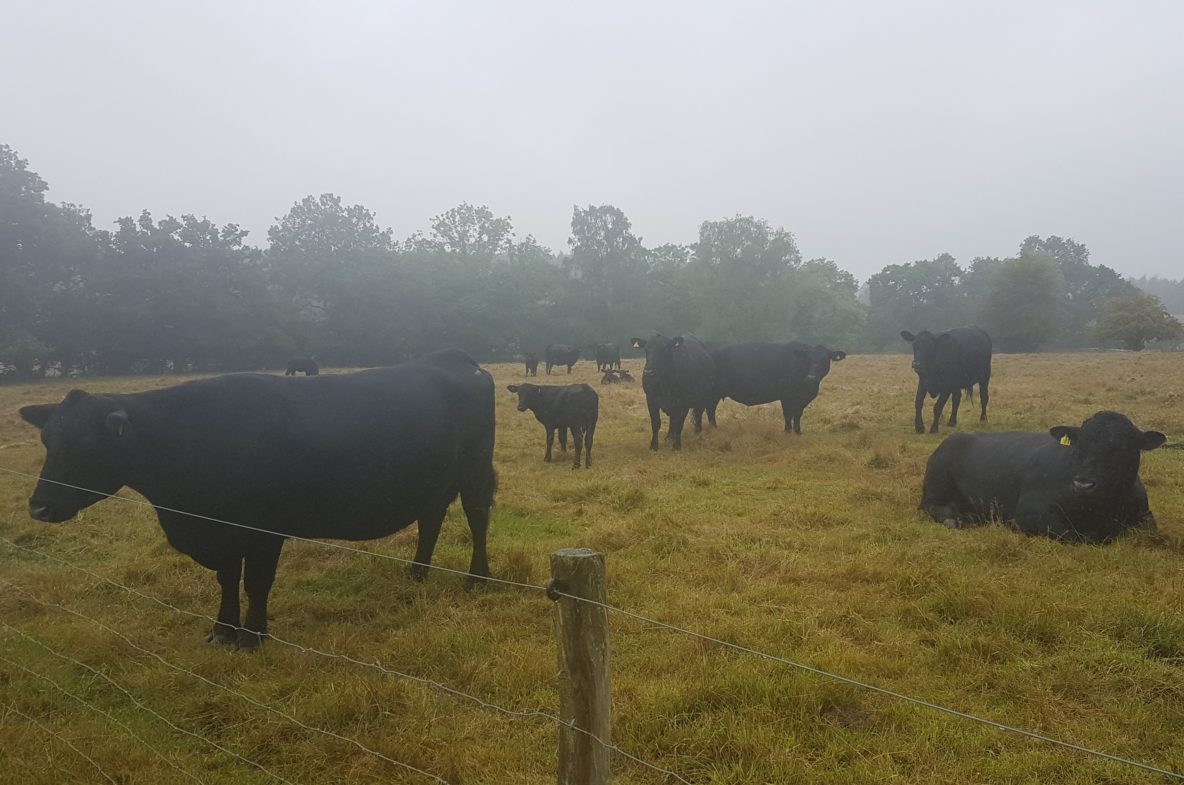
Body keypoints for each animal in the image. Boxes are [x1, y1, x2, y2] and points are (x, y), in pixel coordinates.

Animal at [19, 349, 497, 650]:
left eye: (85, 444)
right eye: (47, 440)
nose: (38, 507)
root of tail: (451, 357)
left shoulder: (265, 530)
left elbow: (257, 582)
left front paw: (253, 637)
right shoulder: (224, 531)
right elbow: (228, 580)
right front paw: (221, 632)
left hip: (473, 468)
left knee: (476, 516)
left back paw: (478, 578)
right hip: (433, 479)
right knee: (431, 518)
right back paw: (416, 574)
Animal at [705, 341, 846, 434]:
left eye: (825, 359)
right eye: (808, 359)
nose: (811, 377)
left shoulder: (801, 399)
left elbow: (797, 415)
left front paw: (798, 432)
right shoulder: (787, 396)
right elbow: (788, 414)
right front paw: (787, 432)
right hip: (712, 393)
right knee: (710, 410)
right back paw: (714, 429)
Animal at [919, 411, 1165, 543]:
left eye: (1124, 446)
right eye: (1080, 444)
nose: (1083, 484)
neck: (1104, 508)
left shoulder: (1144, 514)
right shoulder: (1029, 512)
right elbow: (1072, 534)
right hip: (935, 487)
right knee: (931, 506)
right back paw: (955, 518)